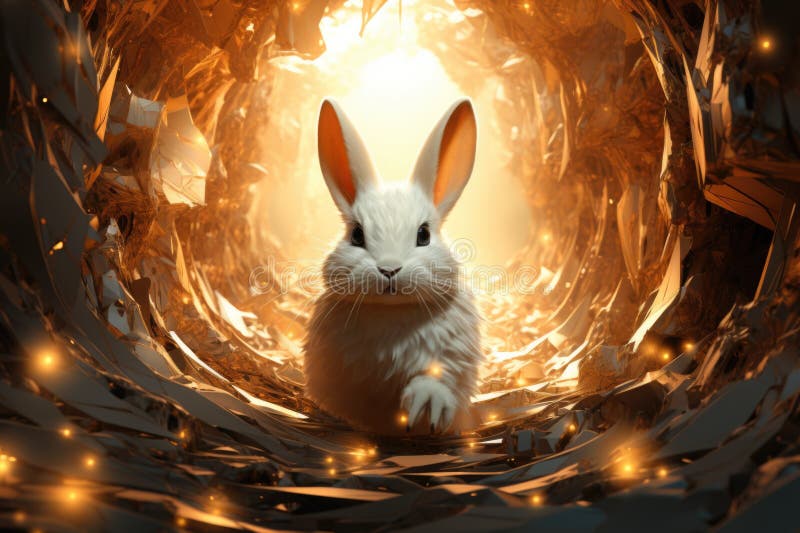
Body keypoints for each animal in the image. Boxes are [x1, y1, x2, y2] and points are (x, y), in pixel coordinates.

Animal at [303, 97, 482, 435]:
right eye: (357, 234)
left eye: (423, 235)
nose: (389, 270)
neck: (392, 312)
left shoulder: (451, 353)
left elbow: (437, 379)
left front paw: (425, 407)